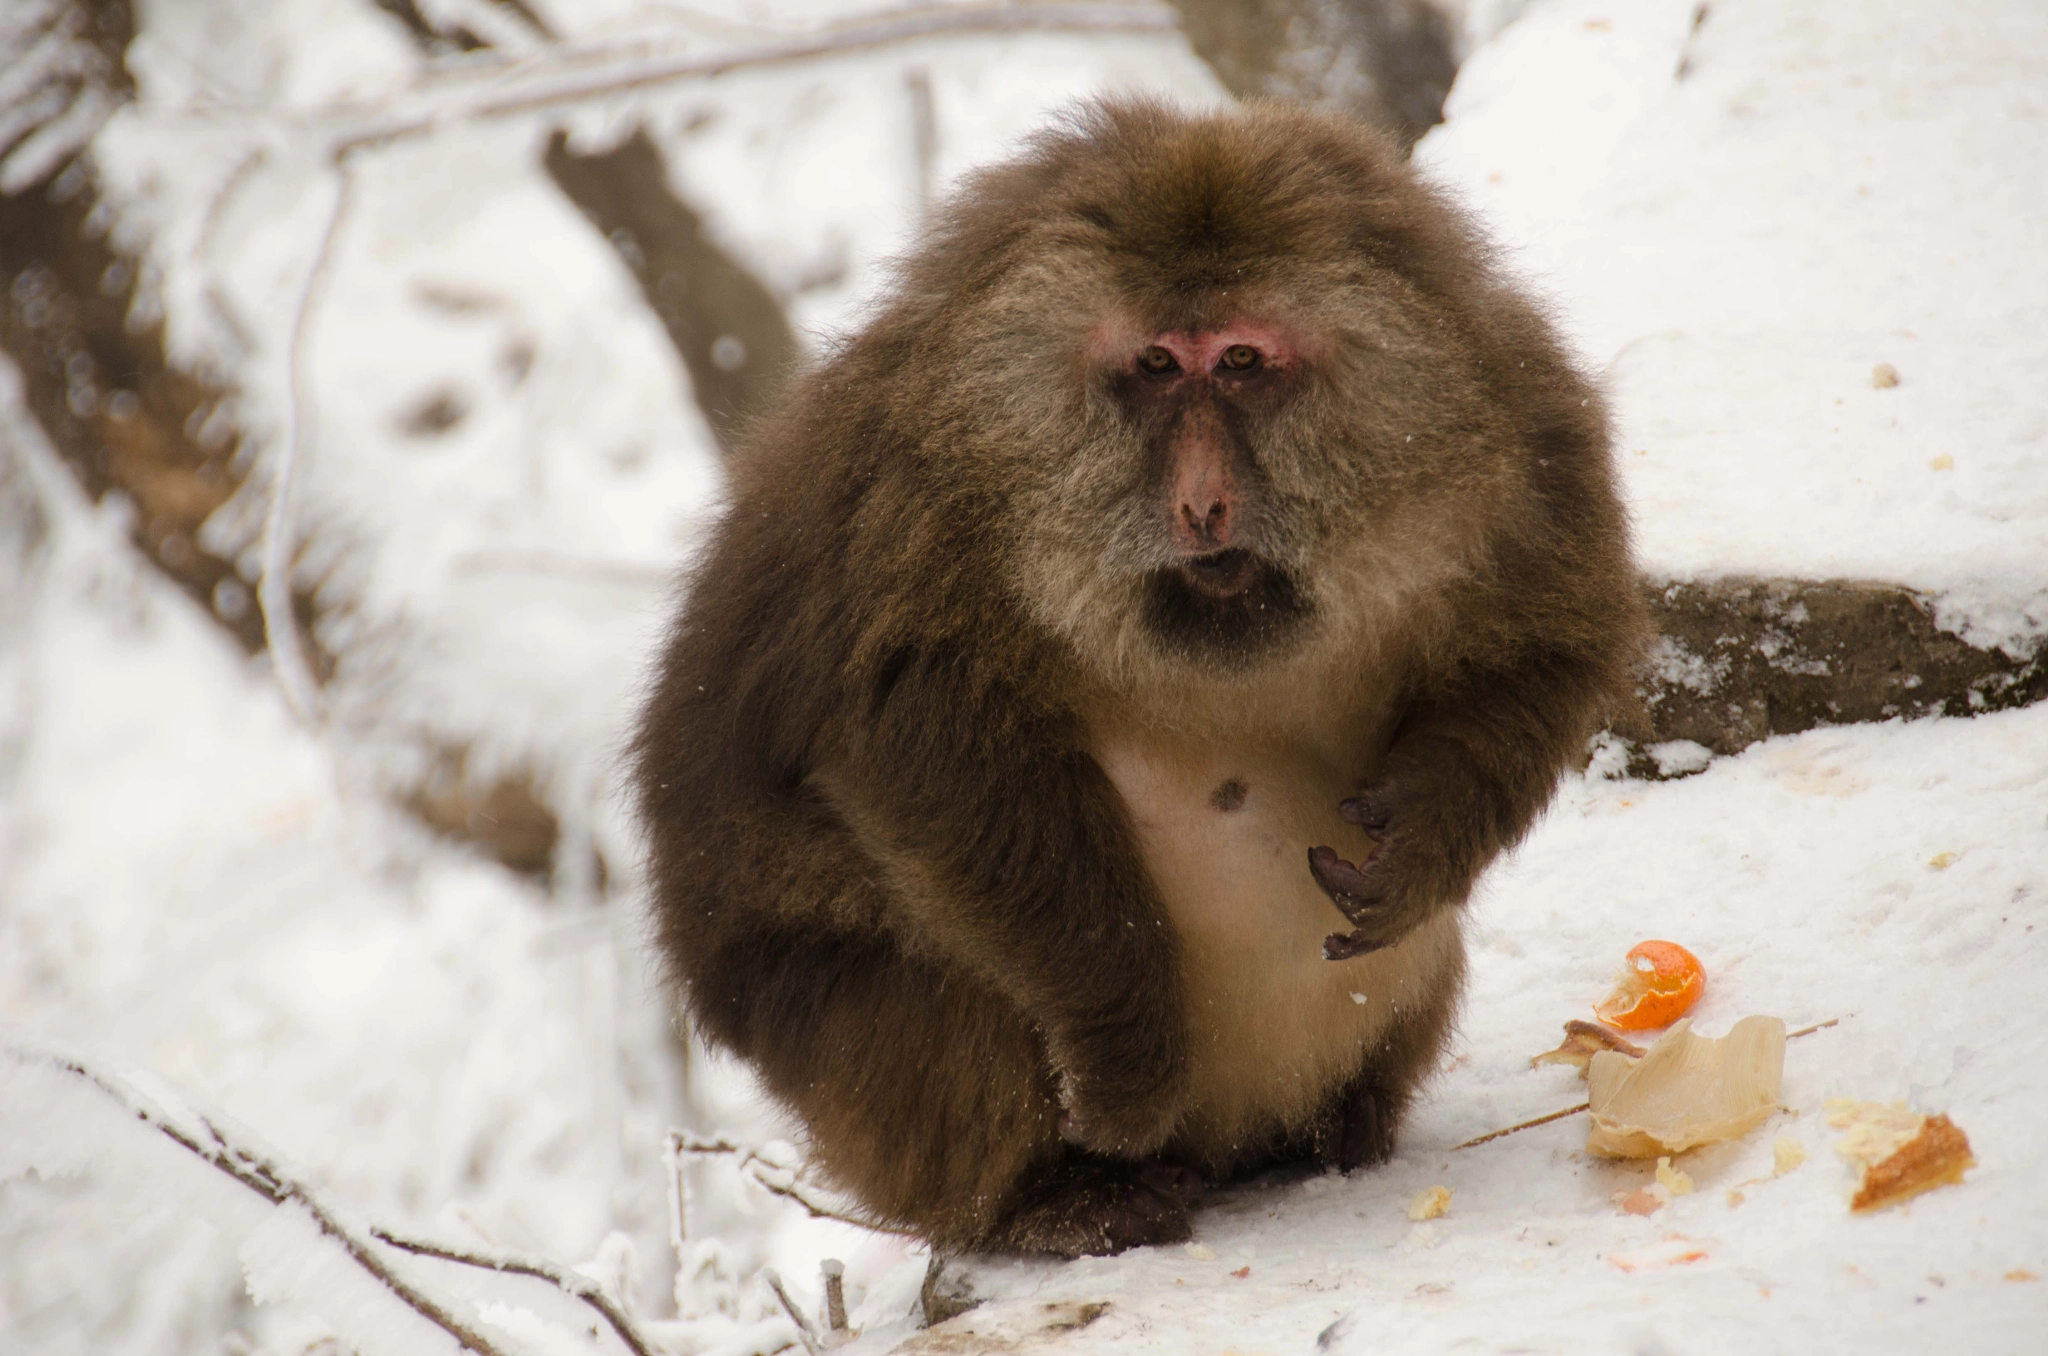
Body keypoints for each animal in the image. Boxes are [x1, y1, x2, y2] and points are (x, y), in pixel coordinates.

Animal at [632, 99, 1647, 1259]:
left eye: (1241, 359)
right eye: (1157, 365)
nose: (1201, 503)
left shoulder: (1521, 433)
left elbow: (1545, 646)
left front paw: (1423, 839)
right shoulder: (909, 502)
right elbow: (922, 750)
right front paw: (1125, 1049)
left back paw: (1335, 1130)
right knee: (913, 992)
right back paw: (1057, 1198)